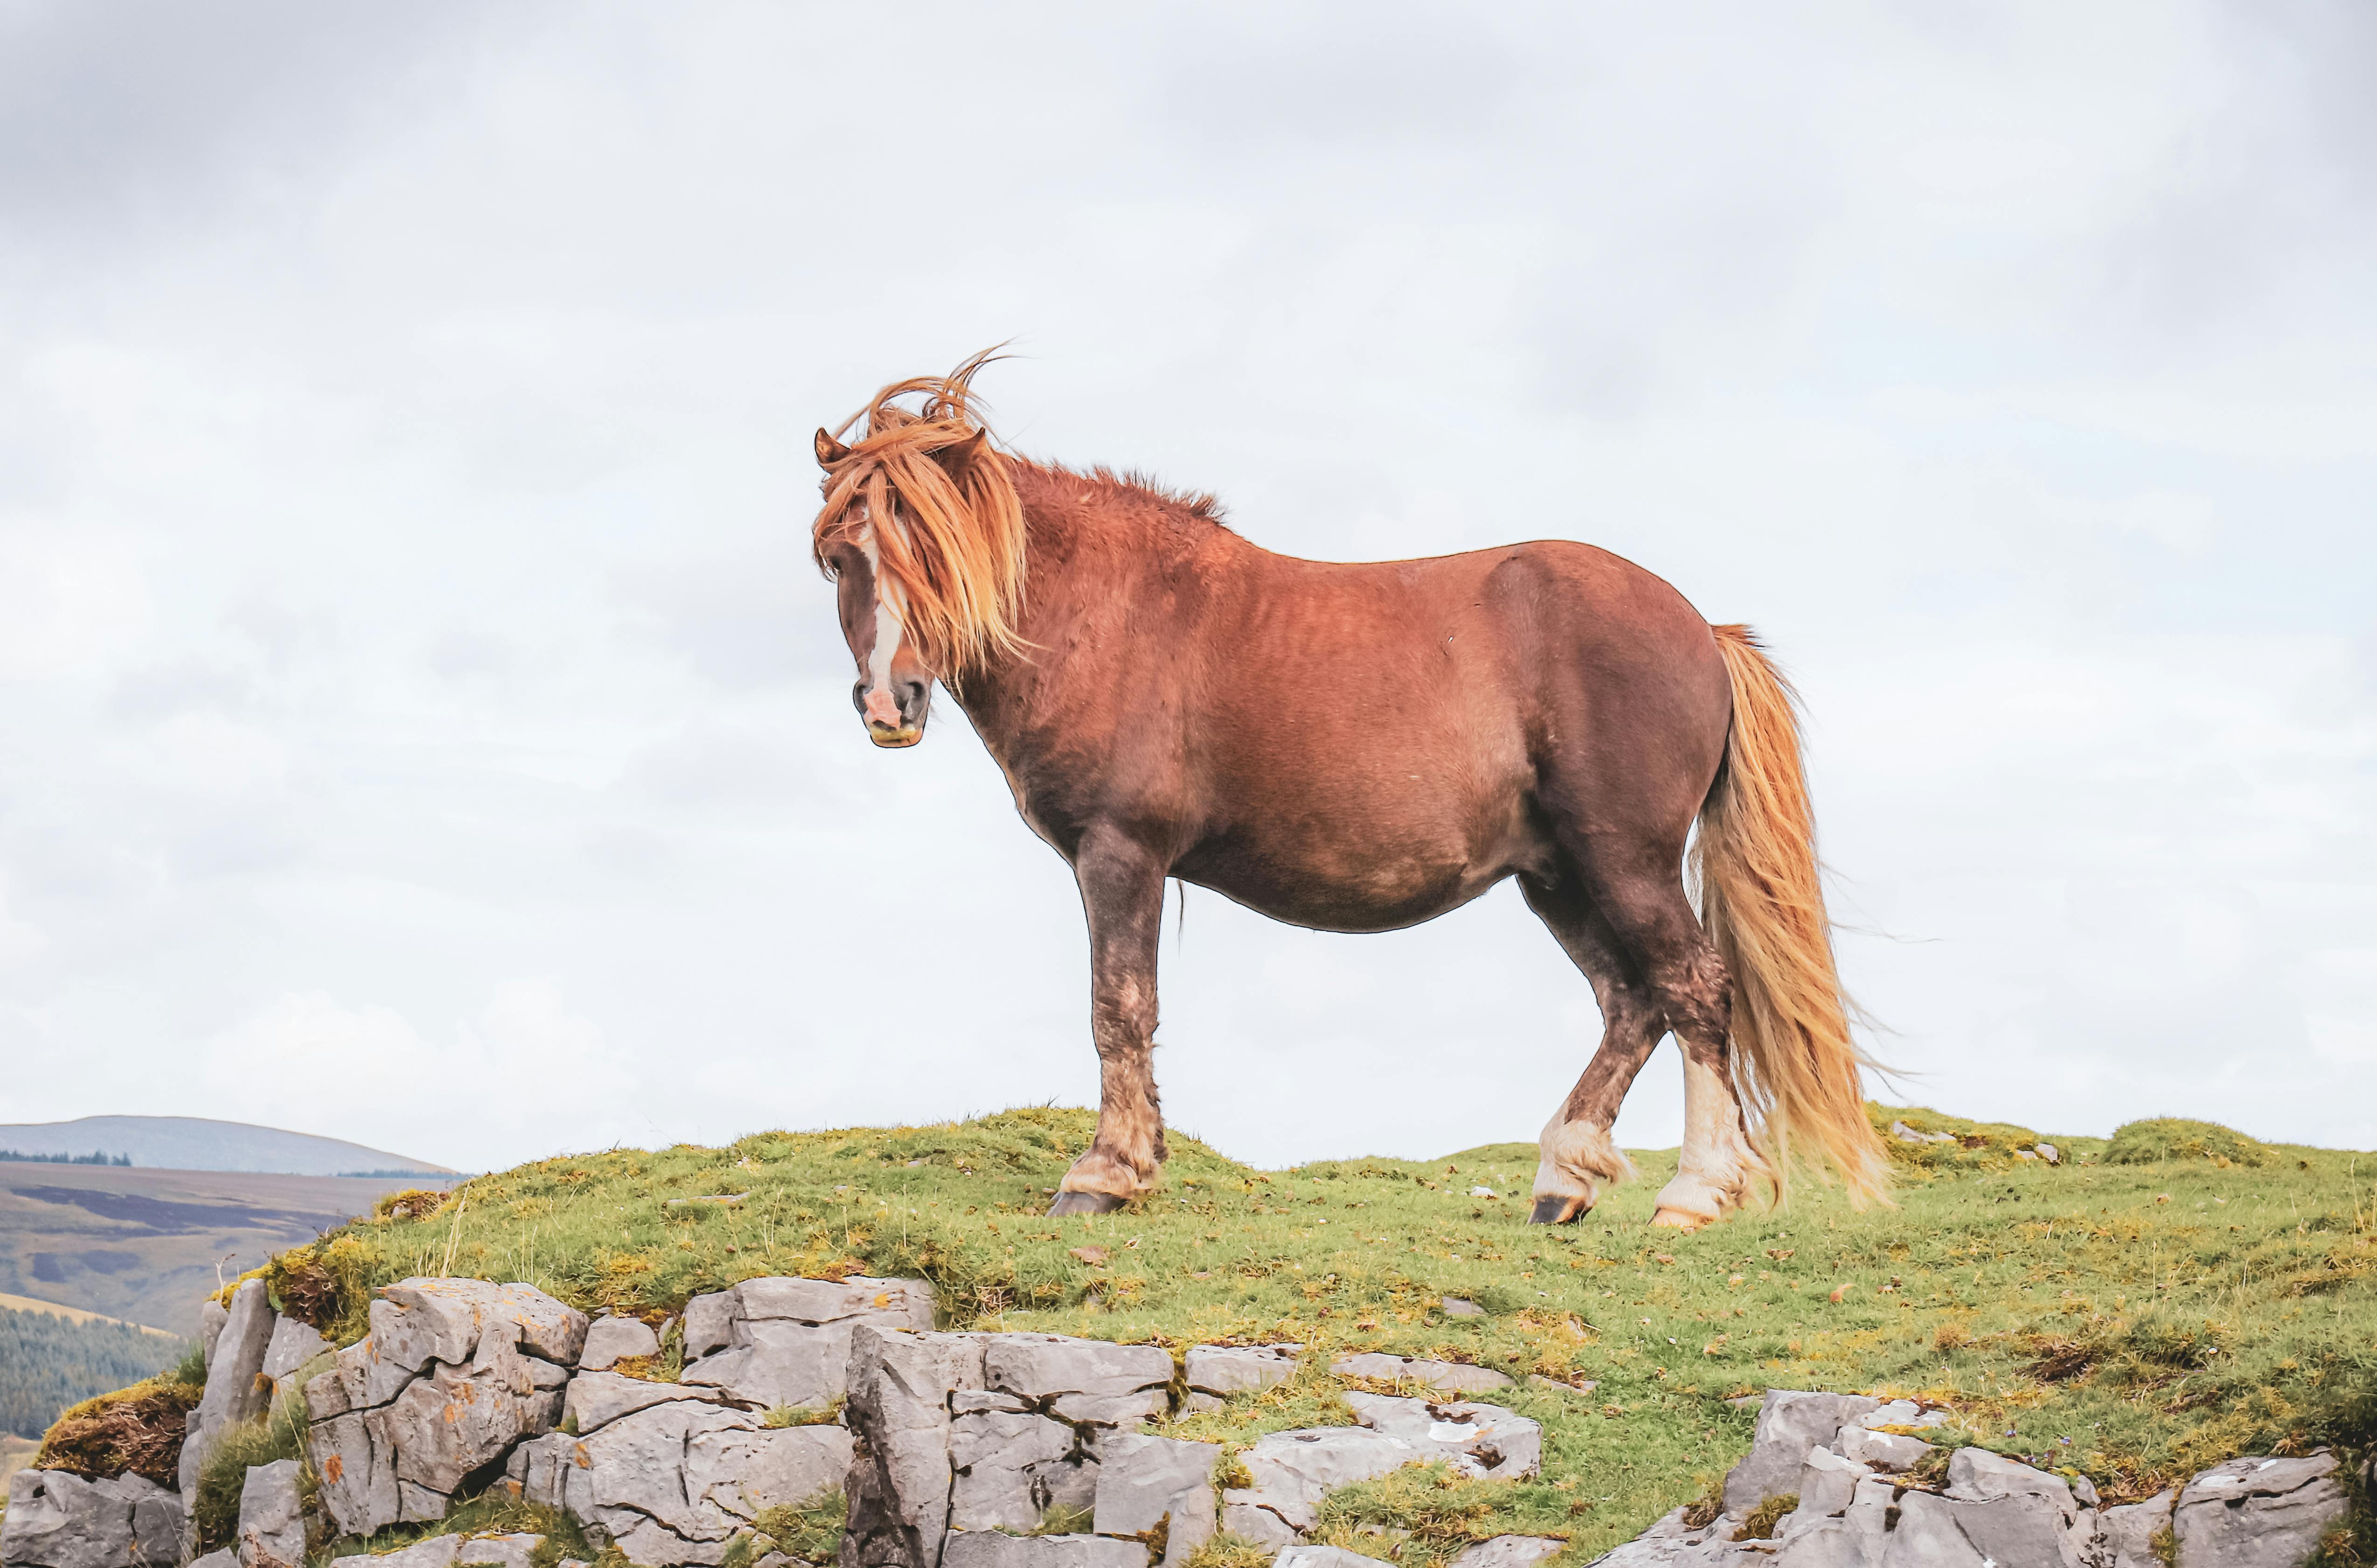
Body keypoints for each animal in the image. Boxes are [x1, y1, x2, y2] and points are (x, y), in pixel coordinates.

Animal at [808, 353, 1887, 1229]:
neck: (1108, 615)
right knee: (1632, 1002)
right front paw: (1139, 1161)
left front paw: (1103, 1175)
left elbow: (1119, 1006)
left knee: (1694, 988)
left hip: (1625, 859)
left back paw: (1692, 1193)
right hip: (1556, 875)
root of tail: (1702, 629)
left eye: (935, 552)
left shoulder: (1119, 853)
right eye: (838, 557)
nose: (890, 702)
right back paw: (1562, 1180)